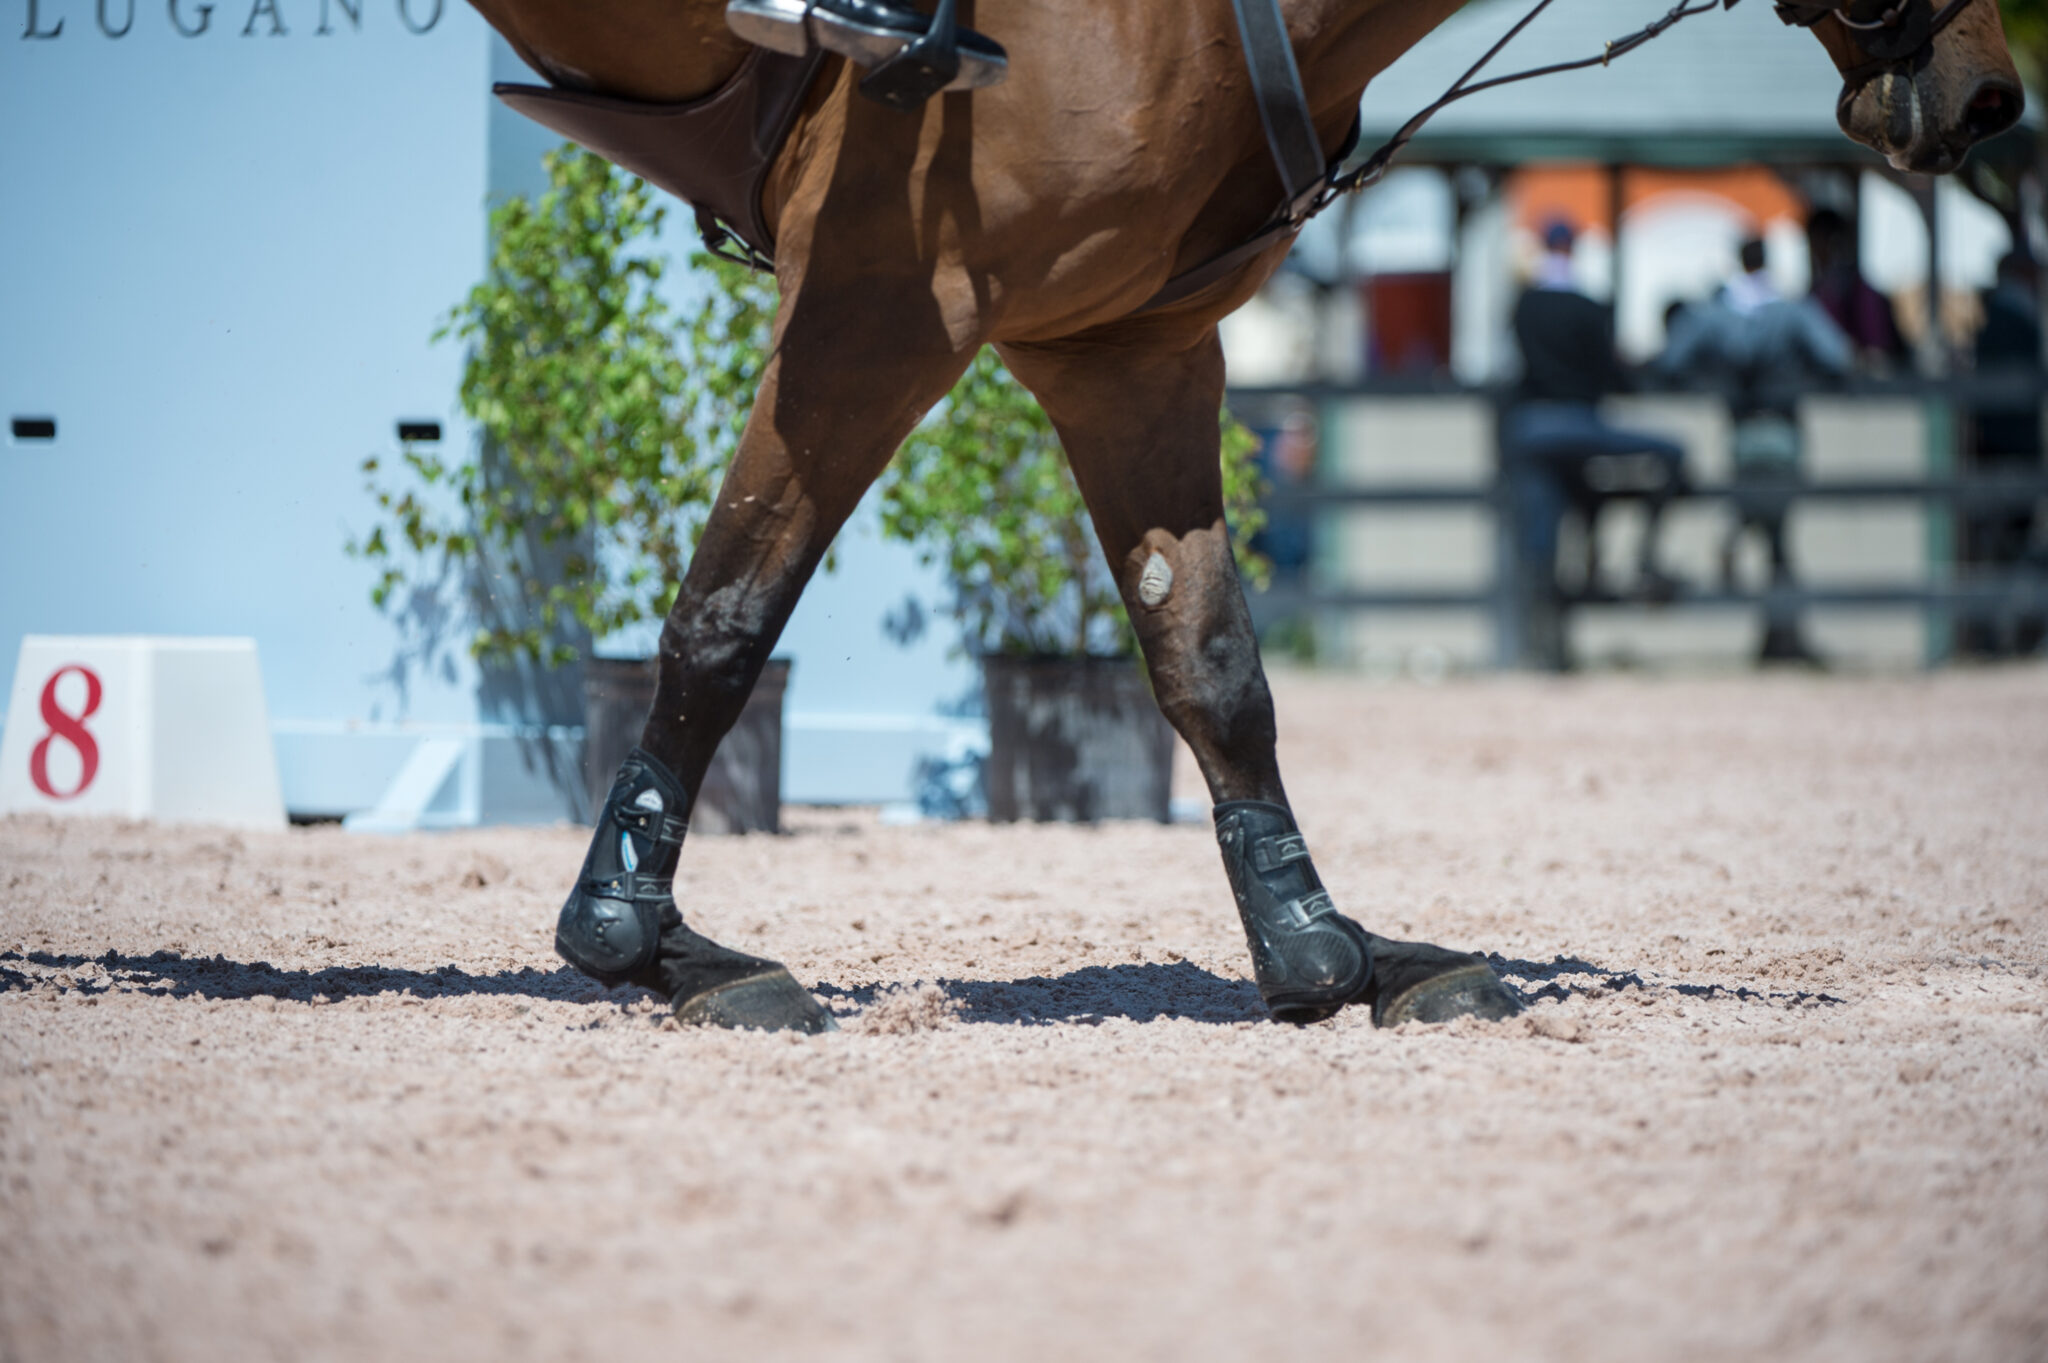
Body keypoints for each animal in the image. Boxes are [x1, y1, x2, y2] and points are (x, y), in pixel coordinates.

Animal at [467, 0, 2024, 1031]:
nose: (1992, 100)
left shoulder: (1126, 352)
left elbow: (1211, 667)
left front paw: (1323, 945)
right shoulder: (881, 304)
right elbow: (727, 615)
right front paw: (632, 938)